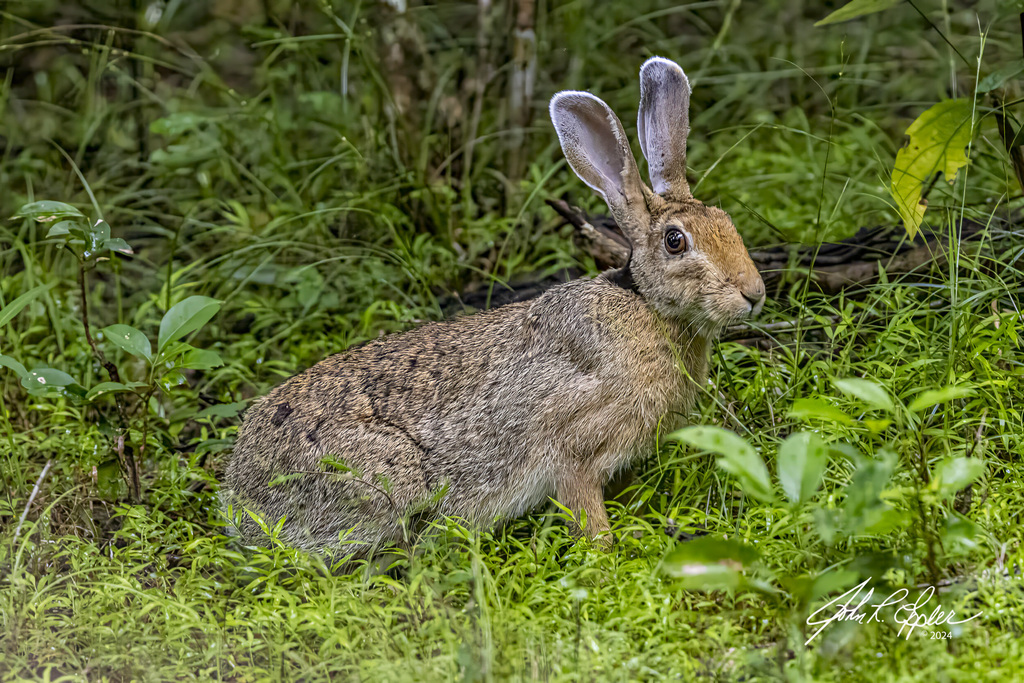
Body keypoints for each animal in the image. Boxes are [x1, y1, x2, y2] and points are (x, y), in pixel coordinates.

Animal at [224, 57, 765, 554]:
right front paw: (606, 552)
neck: (645, 305)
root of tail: (240, 496)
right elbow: (584, 509)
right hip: (388, 480)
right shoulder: (572, 451)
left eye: (727, 220)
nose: (754, 293)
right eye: (675, 241)